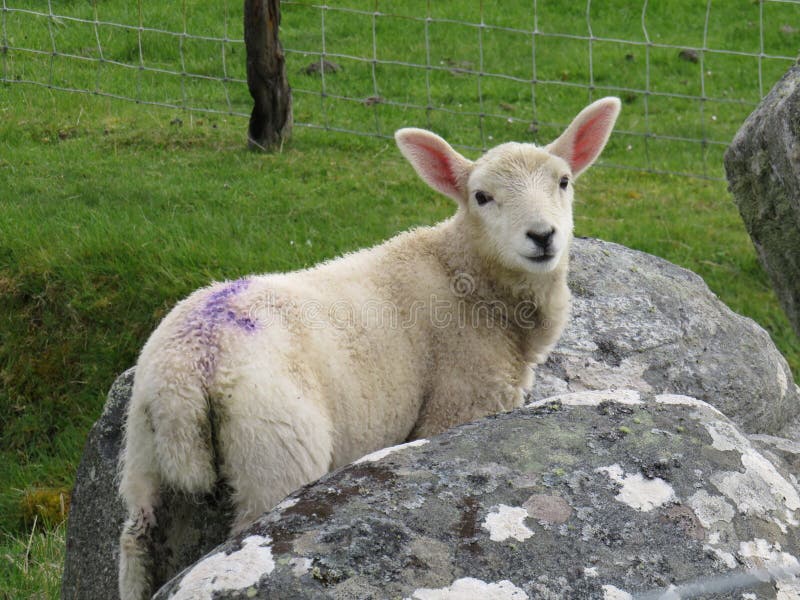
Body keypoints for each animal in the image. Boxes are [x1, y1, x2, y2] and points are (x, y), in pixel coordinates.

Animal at [118, 97, 621, 600]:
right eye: (481, 196)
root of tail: (191, 364)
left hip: (145, 458)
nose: (542, 236)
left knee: (136, 542)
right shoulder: (458, 405)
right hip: (273, 449)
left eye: (563, 181)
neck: (466, 276)